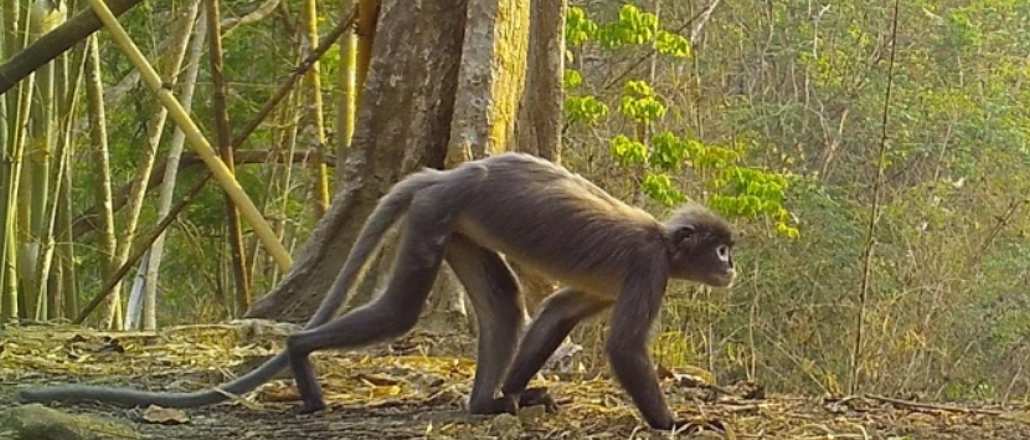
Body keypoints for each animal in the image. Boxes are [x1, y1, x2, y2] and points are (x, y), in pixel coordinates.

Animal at [20, 152, 737, 431]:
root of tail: (449, 172)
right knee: (400, 311)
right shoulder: (648, 268)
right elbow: (622, 349)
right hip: (437, 214)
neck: (665, 242)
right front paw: (678, 423)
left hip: (451, 222)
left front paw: (516, 392)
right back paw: (301, 355)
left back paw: (486, 404)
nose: (731, 268)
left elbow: (559, 308)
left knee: (503, 302)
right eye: (721, 248)